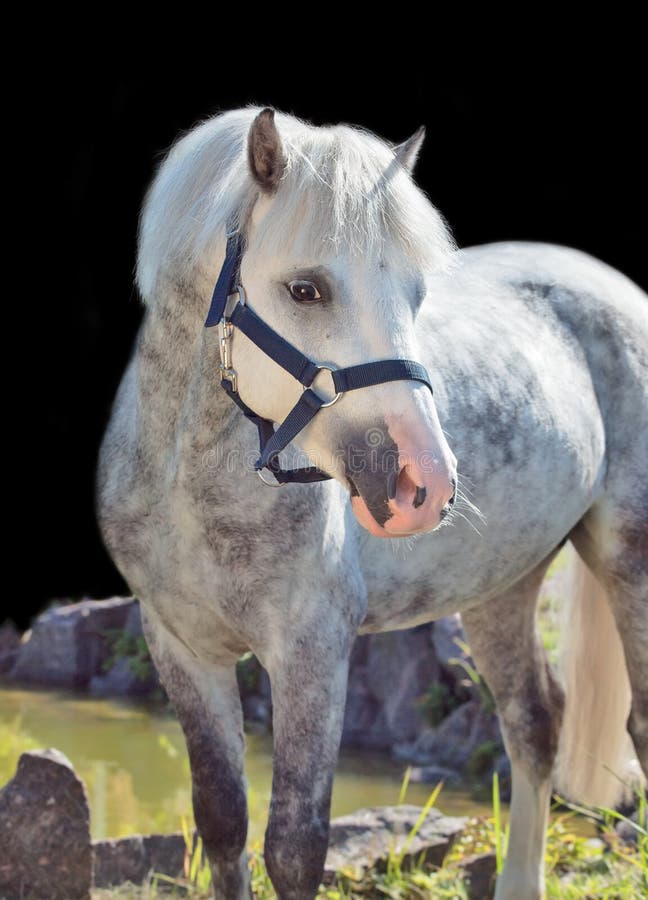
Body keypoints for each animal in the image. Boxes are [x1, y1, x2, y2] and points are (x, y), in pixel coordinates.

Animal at [97, 106, 647, 900]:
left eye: (416, 295)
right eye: (305, 289)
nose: (426, 483)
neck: (188, 487)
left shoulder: (313, 653)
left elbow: (294, 848)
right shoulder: (181, 646)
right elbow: (223, 820)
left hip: (629, 562)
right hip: (501, 586)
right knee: (534, 723)